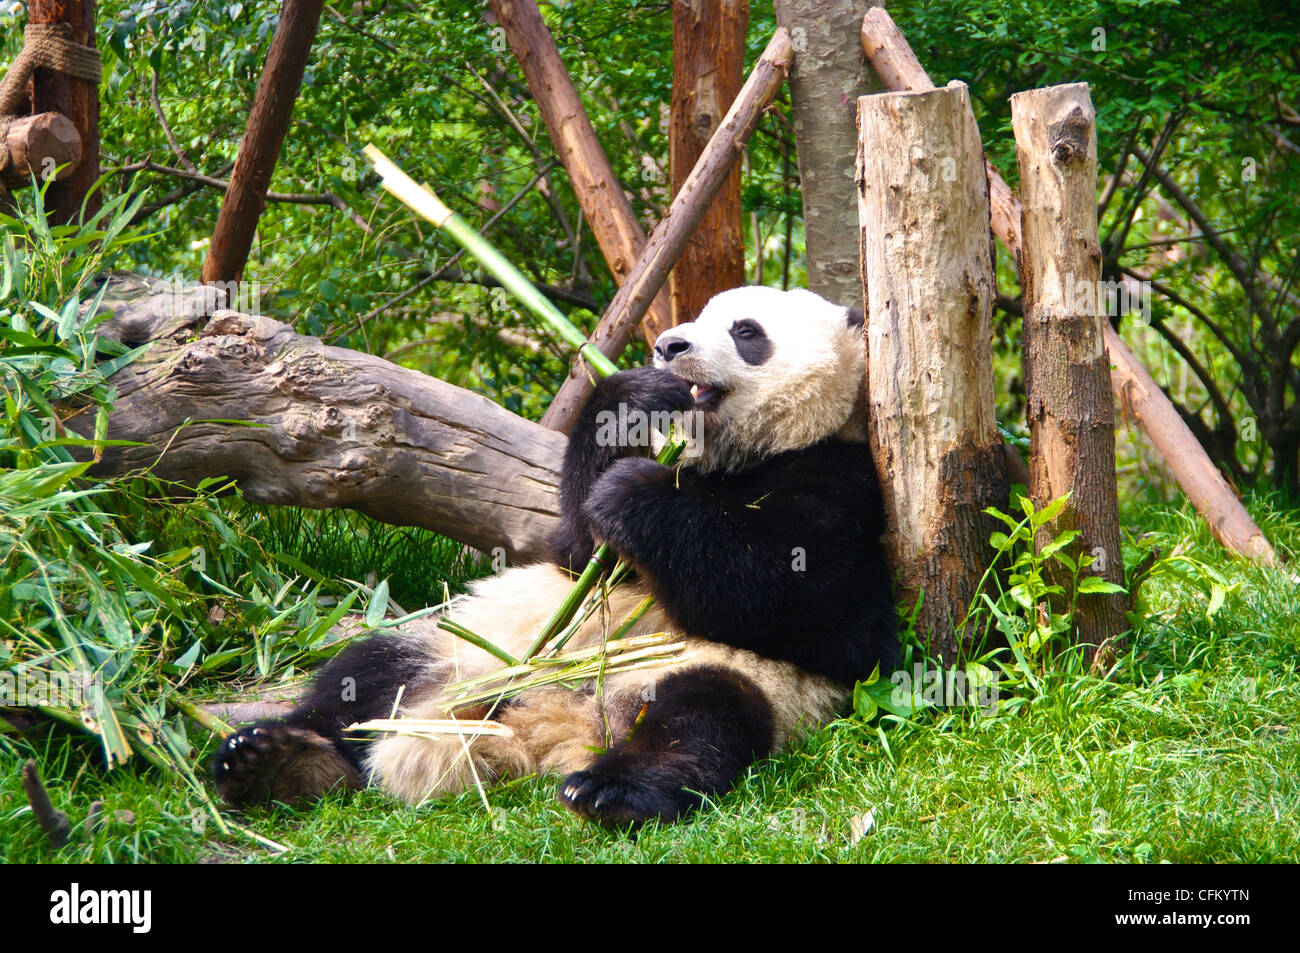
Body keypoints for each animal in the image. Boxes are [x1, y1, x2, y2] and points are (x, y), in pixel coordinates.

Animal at [213, 286, 899, 827]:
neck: (736, 458)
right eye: (699, 316)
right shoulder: (573, 554)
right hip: (466, 651)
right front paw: (635, 402)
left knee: (702, 720)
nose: (670, 346)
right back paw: (277, 760)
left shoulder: (843, 483)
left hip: (729, 679)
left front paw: (634, 493)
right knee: (368, 672)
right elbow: (575, 552)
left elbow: (816, 606)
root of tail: (555, 729)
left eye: (747, 332)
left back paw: (609, 791)